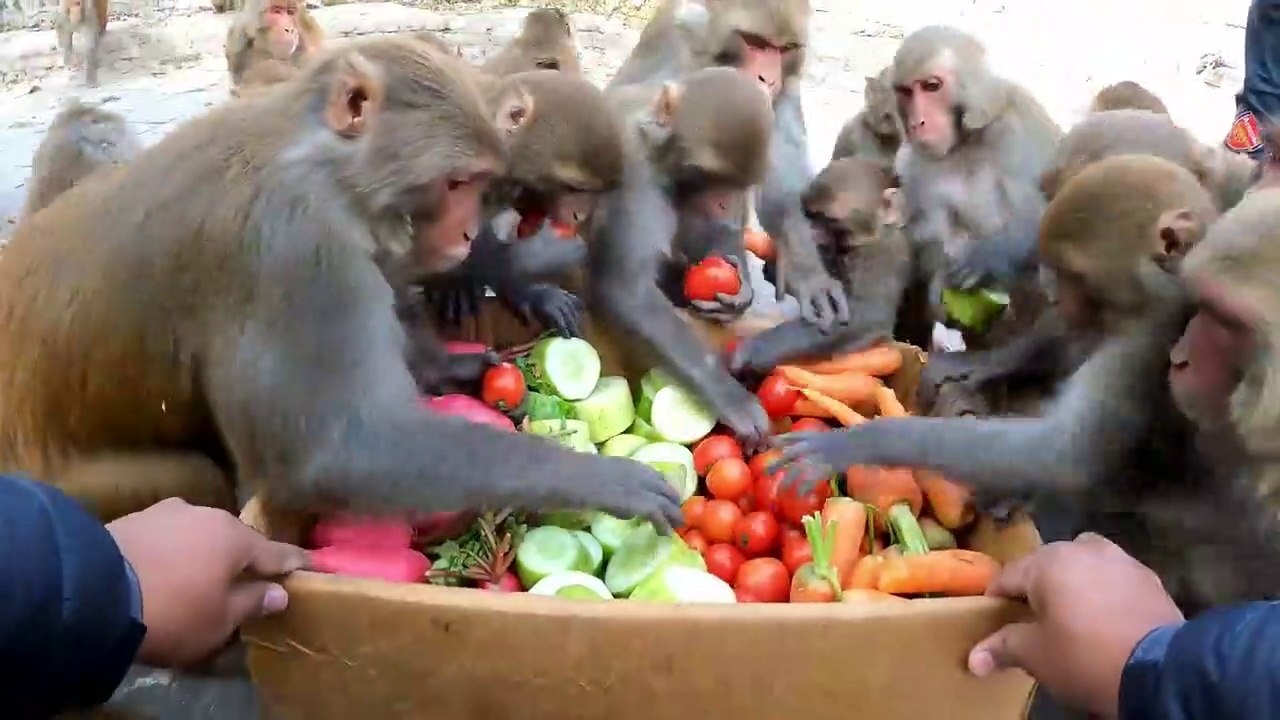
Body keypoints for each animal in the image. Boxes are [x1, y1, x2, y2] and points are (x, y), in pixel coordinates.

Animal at [0, 38, 682, 533]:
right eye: (457, 182)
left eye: (478, 181)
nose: (466, 232)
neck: (312, 162)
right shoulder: (293, 246)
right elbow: (337, 453)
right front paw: (610, 482)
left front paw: (454, 364)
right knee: (198, 477)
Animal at [727, 158, 932, 376]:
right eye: (810, 214)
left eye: (828, 219)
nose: (812, 232)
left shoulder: (881, 257)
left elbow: (866, 315)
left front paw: (757, 349)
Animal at [768, 154, 1280, 614]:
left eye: (1075, 276)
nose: (1055, 292)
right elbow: (1056, 341)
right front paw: (980, 365)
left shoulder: (1143, 344)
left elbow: (1063, 455)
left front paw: (864, 439)